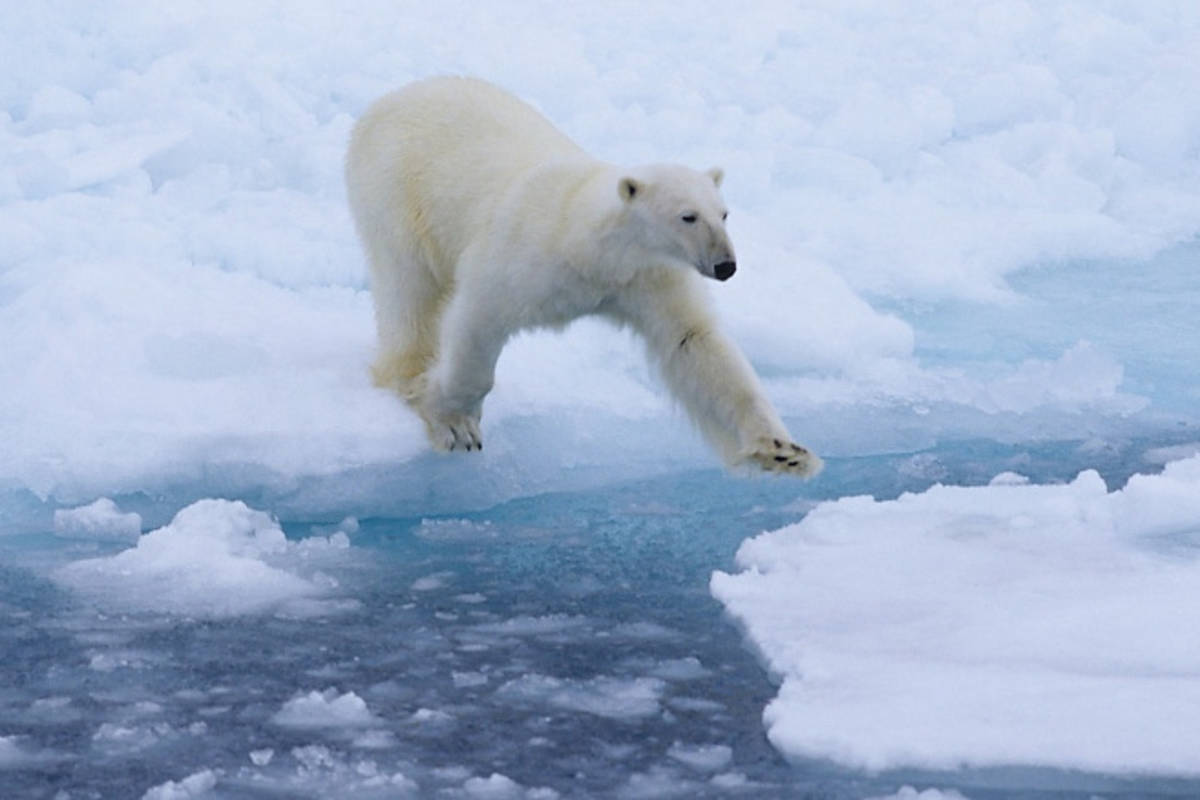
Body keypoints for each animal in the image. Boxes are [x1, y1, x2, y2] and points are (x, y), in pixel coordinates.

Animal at [345, 76, 820, 477]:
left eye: (723, 213)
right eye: (688, 216)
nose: (726, 266)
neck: (589, 248)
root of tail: (389, 99)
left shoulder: (647, 277)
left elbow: (693, 342)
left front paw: (783, 452)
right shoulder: (522, 258)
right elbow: (480, 315)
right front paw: (454, 424)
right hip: (395, 189)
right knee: (409, 290)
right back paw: (406, 374)